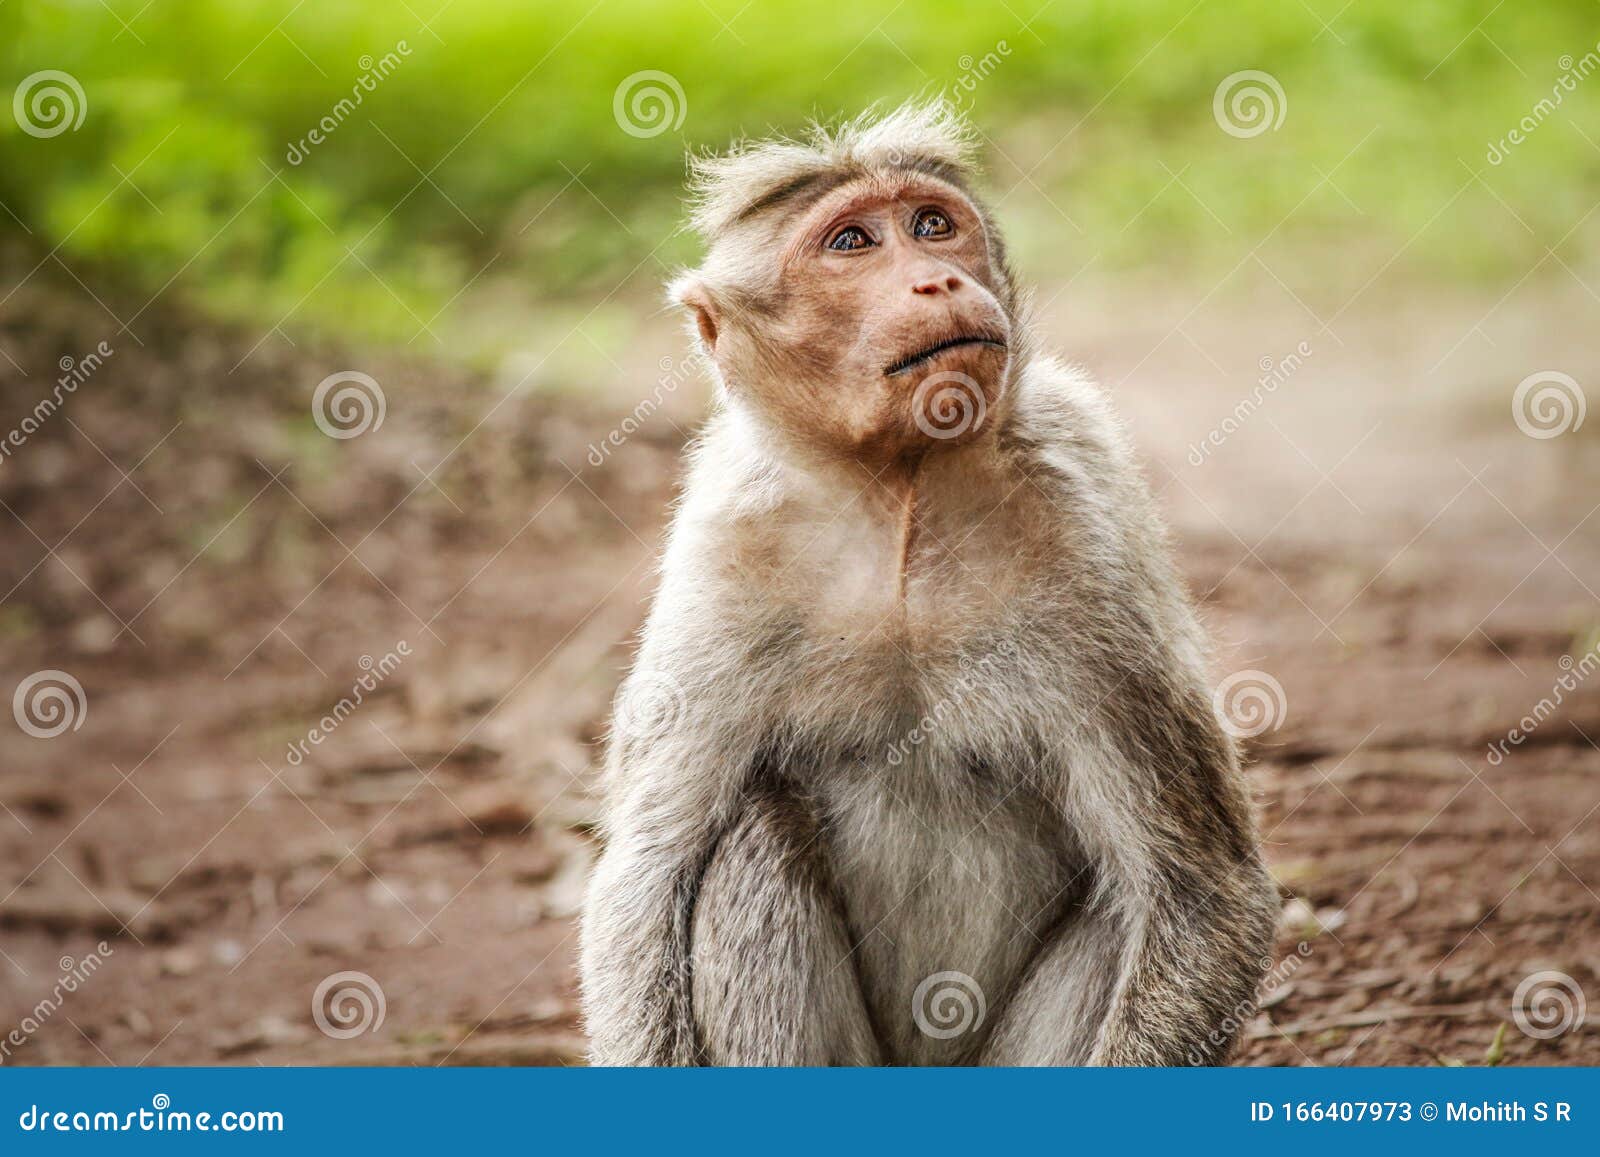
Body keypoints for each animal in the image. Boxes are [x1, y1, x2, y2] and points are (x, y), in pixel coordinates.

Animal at [578, 102, 1280, 1066]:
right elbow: (650, 874)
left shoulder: (1090, 523)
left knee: (1124, 903)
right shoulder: (723, 548)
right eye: (851, 242)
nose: (937, 281)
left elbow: (1202, 890)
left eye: (932, 225)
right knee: (749, 838)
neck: (903, 502)